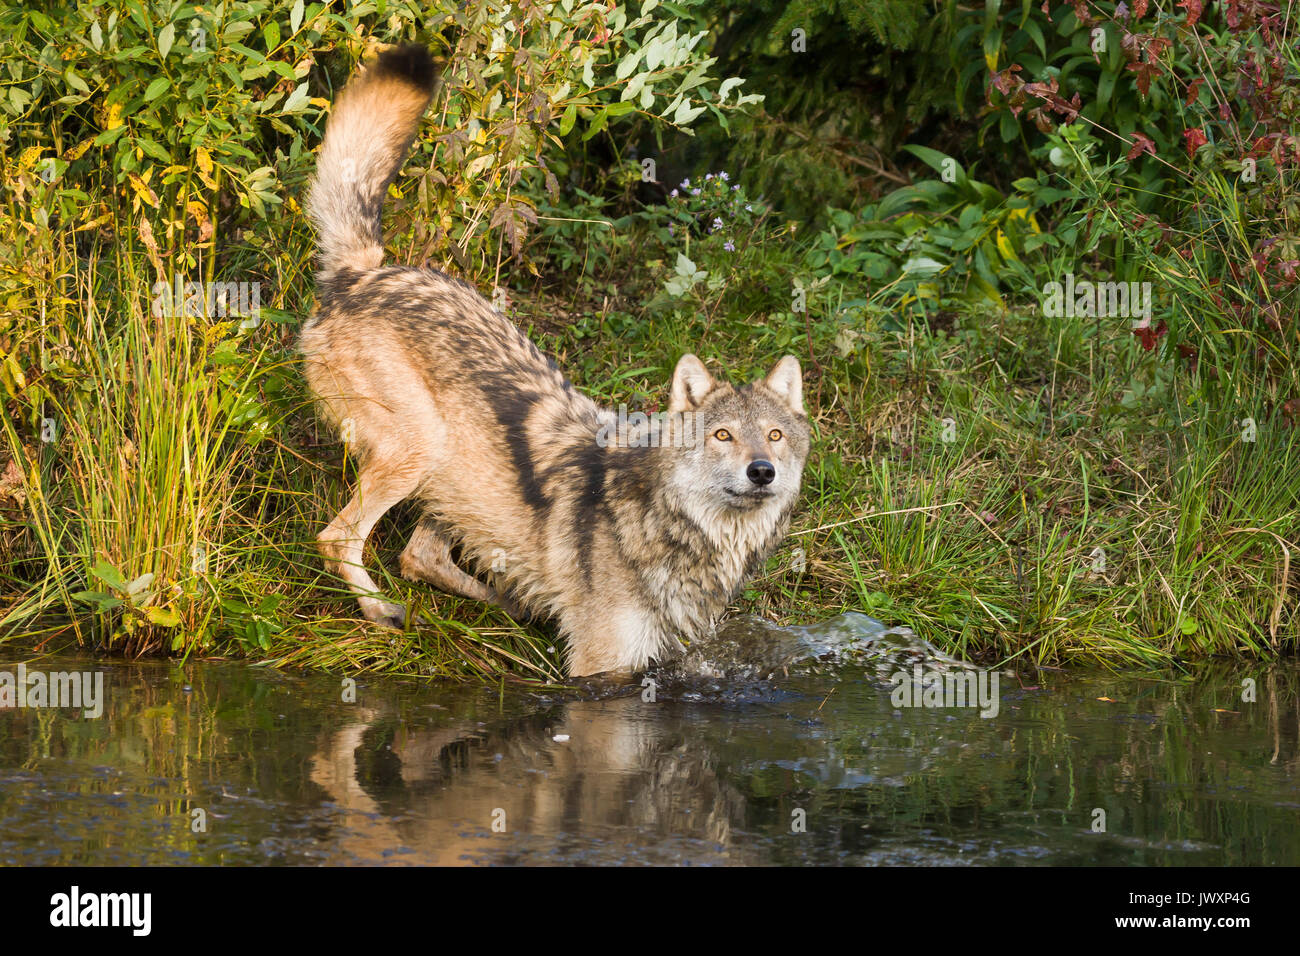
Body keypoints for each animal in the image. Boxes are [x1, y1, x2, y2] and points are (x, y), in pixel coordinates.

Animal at [300, 43, 810, 677]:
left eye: (773, 436)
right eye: (722, 436)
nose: (761, 471)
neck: (670, 526)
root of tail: (366, 272)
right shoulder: (601, 664)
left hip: (456, 475)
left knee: (418, 556)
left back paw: (515, 603)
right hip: (420, 450)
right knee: (338, 537)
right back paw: (384, 612)